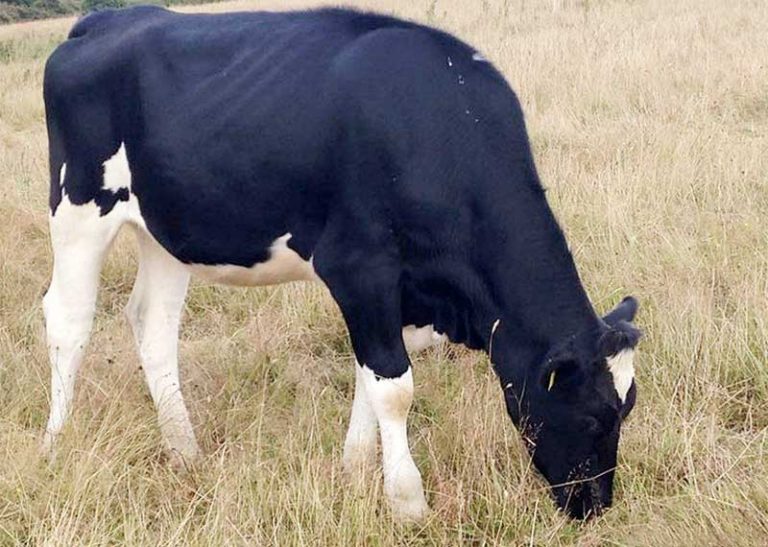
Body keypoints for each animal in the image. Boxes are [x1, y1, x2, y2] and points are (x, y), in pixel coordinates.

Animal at [41, 6, 641, 521]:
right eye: (594, 415)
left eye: (627, 408)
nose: (595, 507)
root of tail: (106, 20)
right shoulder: (359, 268)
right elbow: (394, 387)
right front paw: (407, 501)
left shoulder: (405, 289)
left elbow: (370, 372)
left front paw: (355, 468)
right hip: (79, 207)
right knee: (68, 321)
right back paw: (56, 443)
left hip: (166, 231)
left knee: (153, 325)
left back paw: (185, 450)